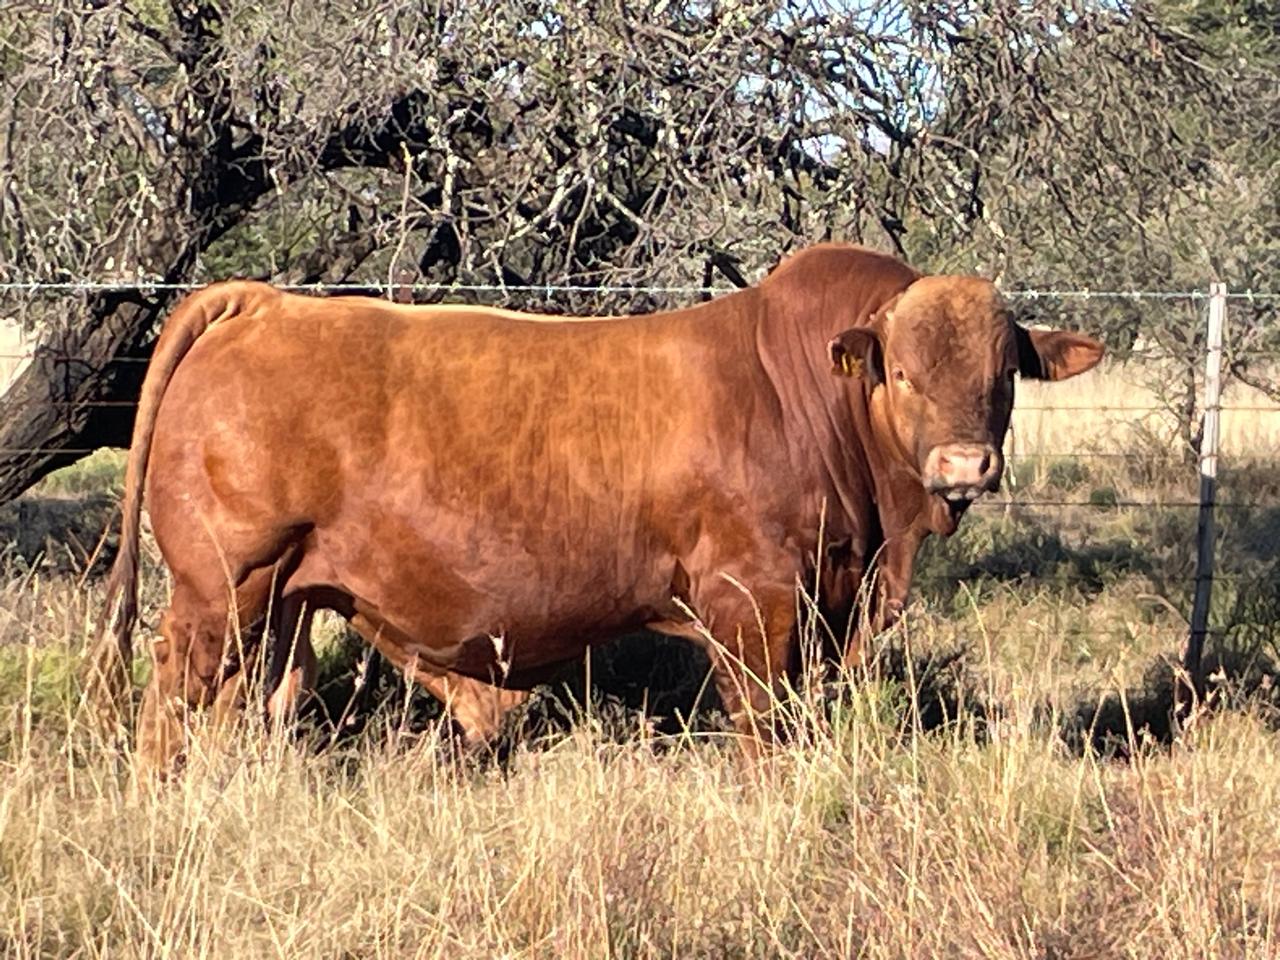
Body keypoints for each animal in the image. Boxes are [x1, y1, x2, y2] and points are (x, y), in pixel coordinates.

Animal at [82, 243, 1103, 774]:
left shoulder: (830, 603)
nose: (965, 463)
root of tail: (267, 303)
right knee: (176, 694)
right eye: (902, 373)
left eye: (1003, 373)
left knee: (257, 698)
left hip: (285, 598)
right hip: (220, 585)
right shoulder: (755, 602)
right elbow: (762, 724)